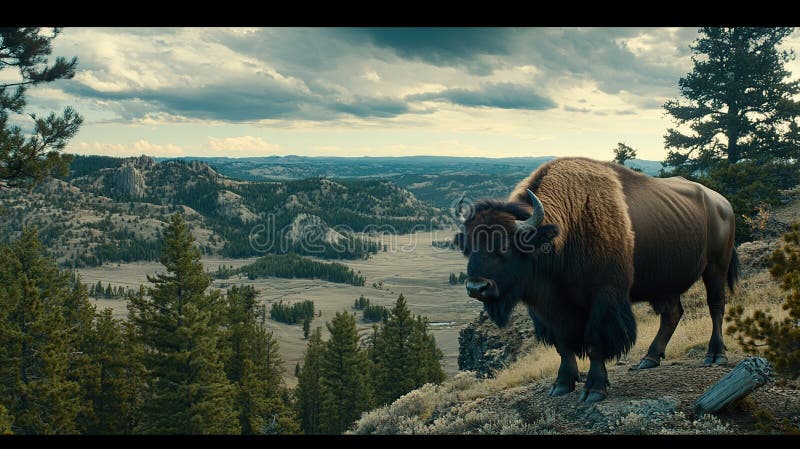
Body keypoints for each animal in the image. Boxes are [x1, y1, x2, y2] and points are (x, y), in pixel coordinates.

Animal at [455, 157, 738, 403]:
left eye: (504, 246)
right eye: (468, 247)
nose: (476, 287)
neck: (567, 229)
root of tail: (722, 203)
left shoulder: (603, 299)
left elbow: (594, 342)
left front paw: (594, 390)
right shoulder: (548, 308)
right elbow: (563, 344)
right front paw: (561, 385)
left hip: (716, 267)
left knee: (716, 305)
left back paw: (715, 355)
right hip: (664, 284)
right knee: (672, 313)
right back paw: (649, 359)